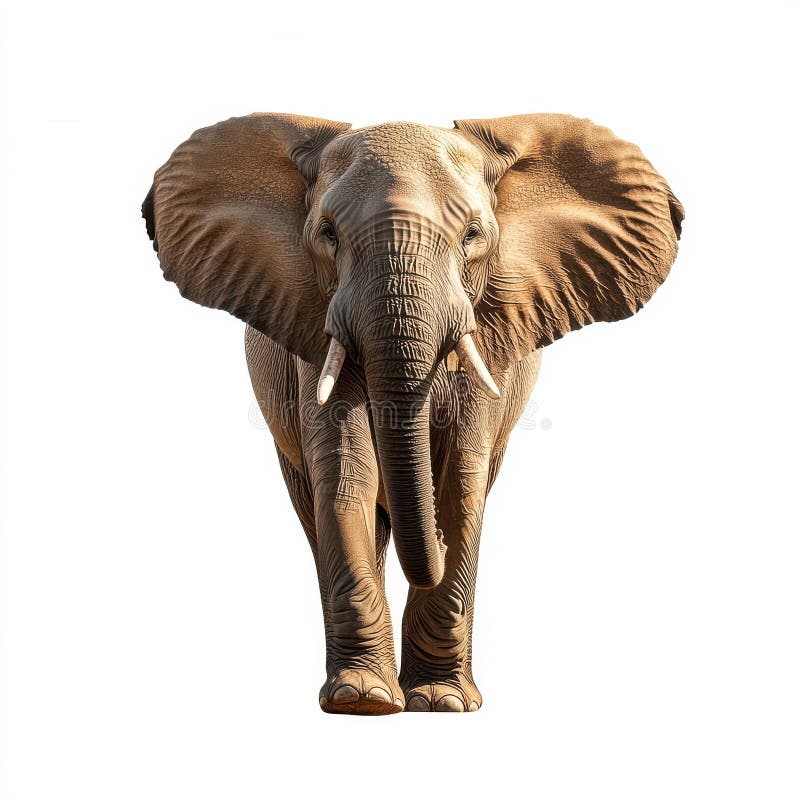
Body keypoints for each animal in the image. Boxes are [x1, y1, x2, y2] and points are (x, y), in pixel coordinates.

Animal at [142, 112, 683, 715]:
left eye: (473, 235)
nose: (437, 549)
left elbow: (461, 484)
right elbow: (345, 471)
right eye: (327, 233)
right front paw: (364, 700)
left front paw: (441, 701)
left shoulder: (489, 335)